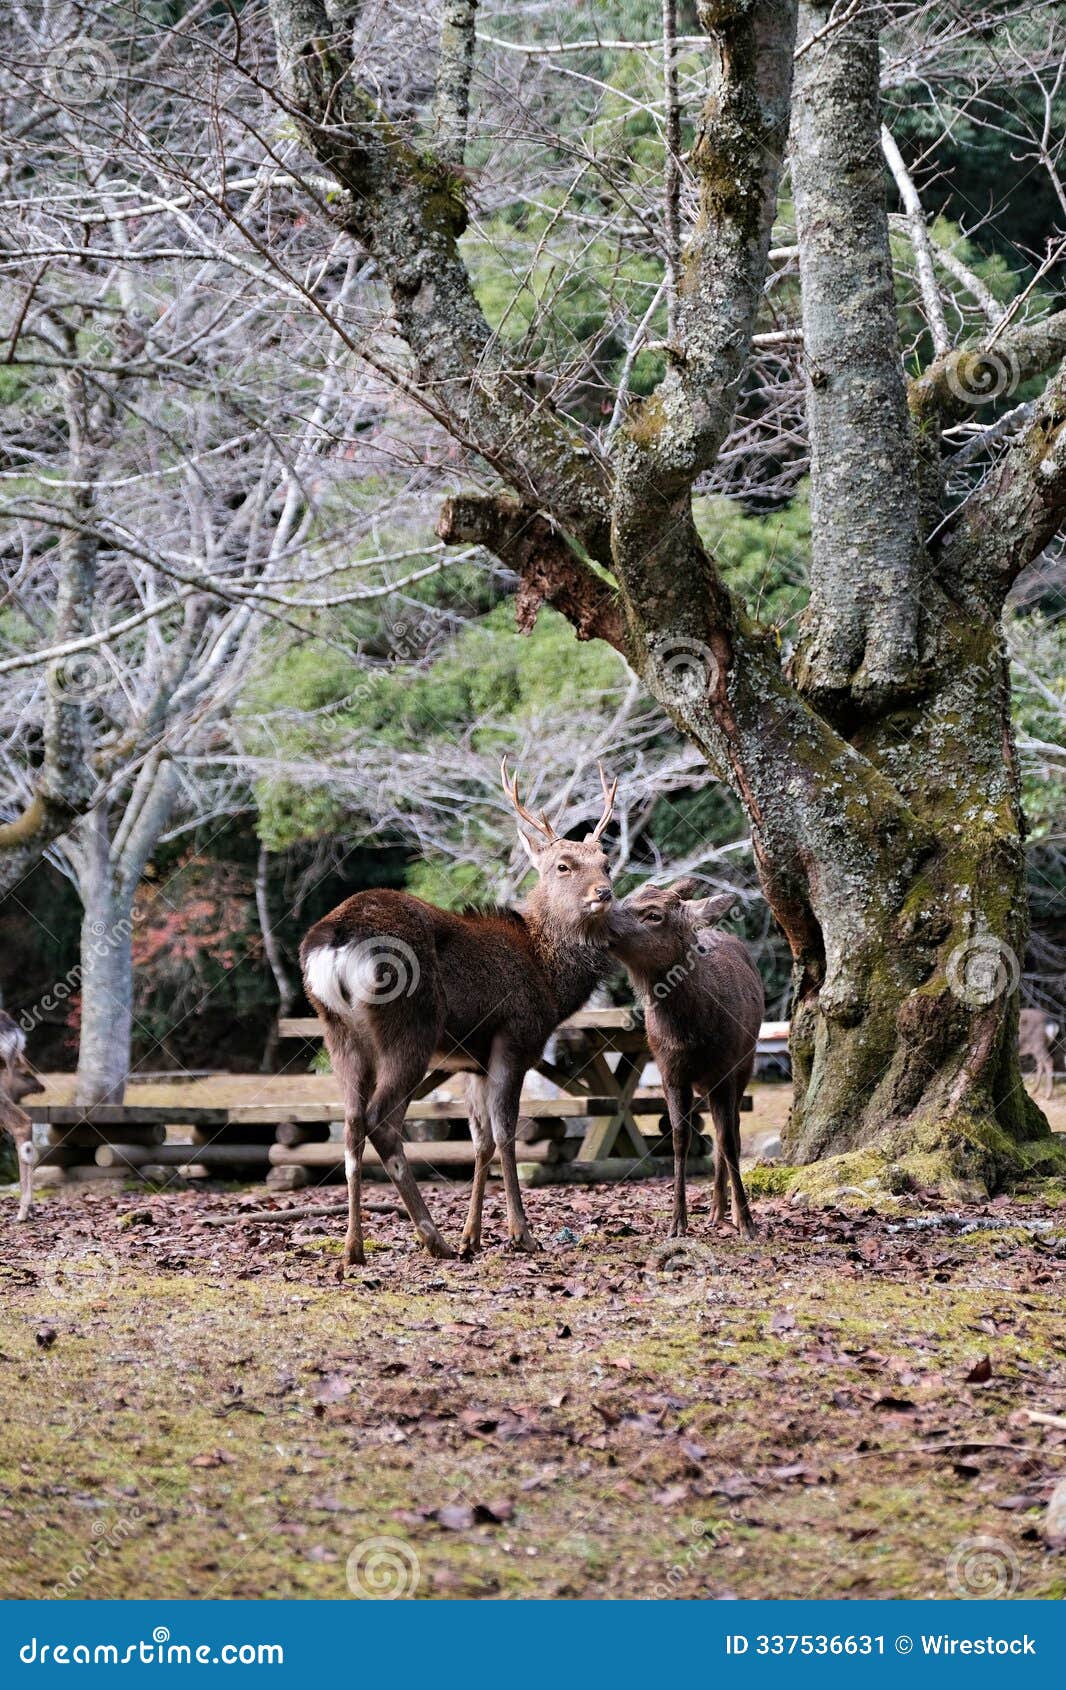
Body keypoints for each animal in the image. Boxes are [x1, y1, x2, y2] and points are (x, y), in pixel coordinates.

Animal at [299, 761, 617, 1275]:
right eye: (563, 865)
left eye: (606, 861)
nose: (603, 892)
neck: (547, 978)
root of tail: (334, 939)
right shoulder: (515, 1036)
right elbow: (506, 1133)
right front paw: (521, 1234)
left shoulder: (474, 1061)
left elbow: (480, 1139)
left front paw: (474, 1236)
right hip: (410, 1026)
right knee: (381, 1121)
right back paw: (433, 1240)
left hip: (338, 1031)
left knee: (349, 1125)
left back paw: (354, 1248)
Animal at [605, 882, 763, 1239]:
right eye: (627, 897)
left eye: (654, 914)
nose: (597, 918)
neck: (688, 1035)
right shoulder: (669, 1072)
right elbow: (680, 1139)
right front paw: (677, 1222)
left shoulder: (725, 1068)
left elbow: (729, 1140)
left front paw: (747, 1222)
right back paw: (715, 1211)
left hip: (746, 1062)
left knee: (730, 1129)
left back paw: (726, 1211)